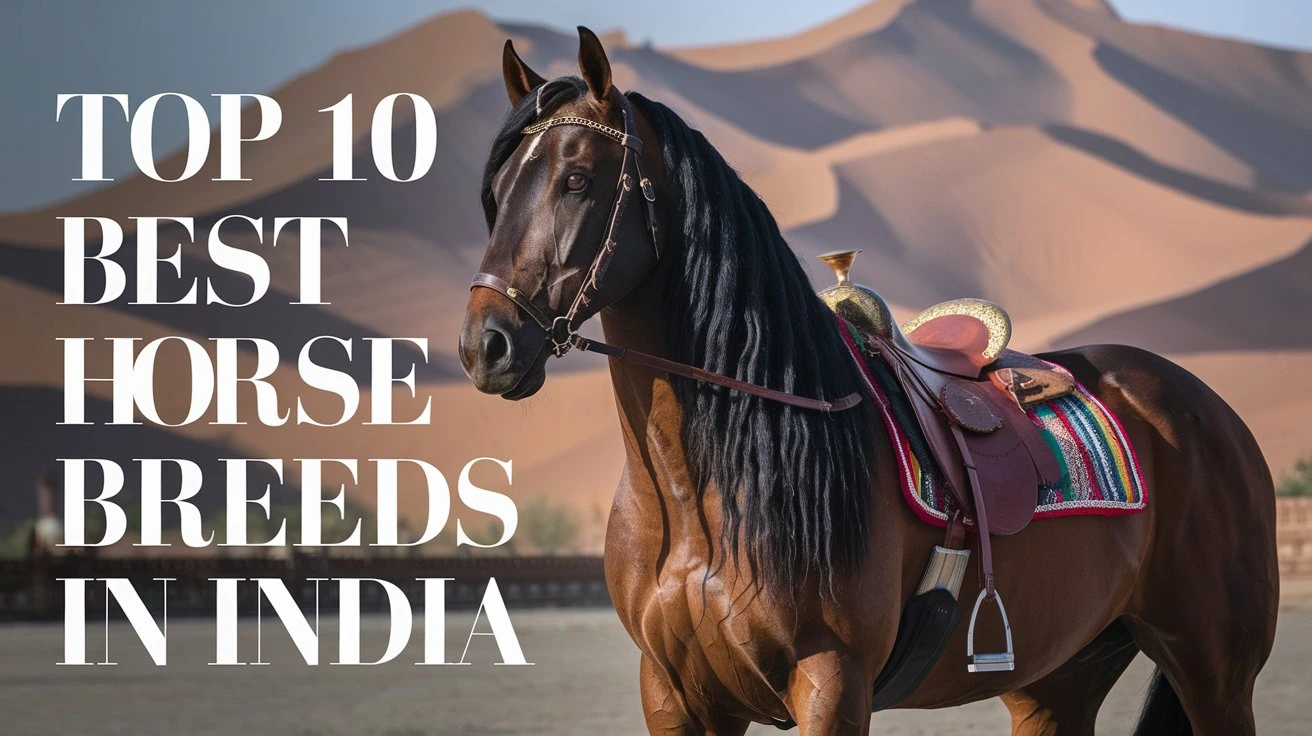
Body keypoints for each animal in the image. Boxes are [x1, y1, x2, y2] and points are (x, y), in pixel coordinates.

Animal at [459, 27, 1278, 735]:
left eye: (577, 179)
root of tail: (1206, 412)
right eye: (494, 190)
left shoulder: (833, 681)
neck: (711, 492)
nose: (484, 345)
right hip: (1058, 679)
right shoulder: (674, 693)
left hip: (1216, 673)